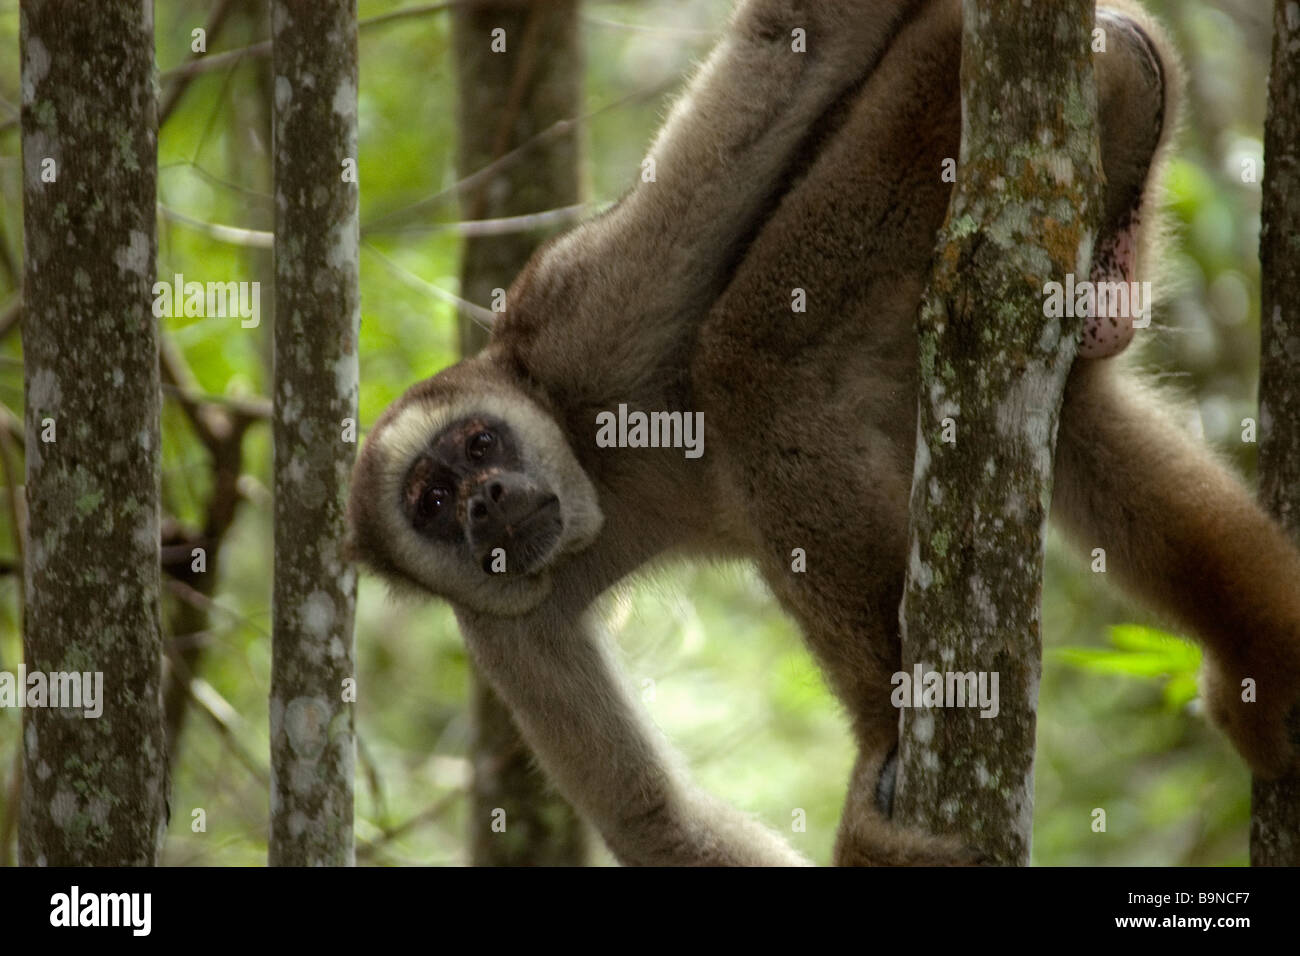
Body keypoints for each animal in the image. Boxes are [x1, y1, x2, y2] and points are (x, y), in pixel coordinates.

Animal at [348, 0, 1300, 865]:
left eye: (479, 448)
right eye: (432, 503)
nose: (486, 500)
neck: (593, 476)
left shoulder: (577, 316)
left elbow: (785, 38)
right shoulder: (506, 631)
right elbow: (655, 822)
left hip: (969, 88)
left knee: (756, 369)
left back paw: (888, 720)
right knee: (1068, 424)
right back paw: (1256, 646)